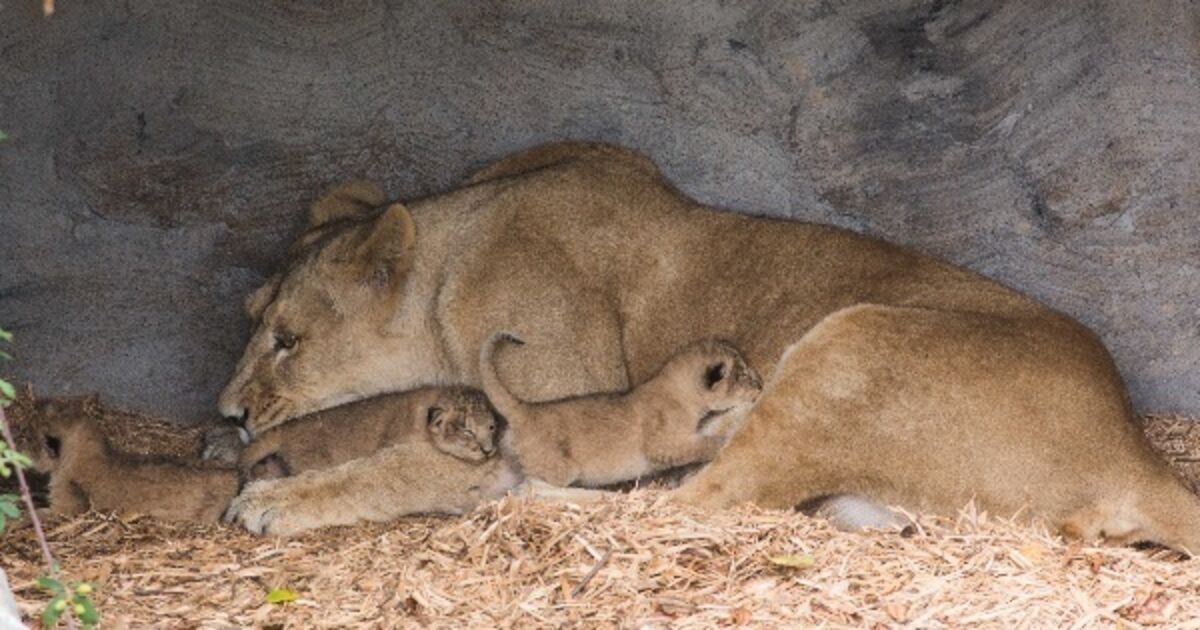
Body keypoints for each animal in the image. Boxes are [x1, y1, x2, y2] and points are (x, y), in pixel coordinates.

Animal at [481, 333, 761, 487]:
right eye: (743, 375)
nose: (760, 385)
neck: (678, 391)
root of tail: (525, 408)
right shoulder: (662, 446)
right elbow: (701, 445)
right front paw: (723, 441)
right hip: (557, 470)